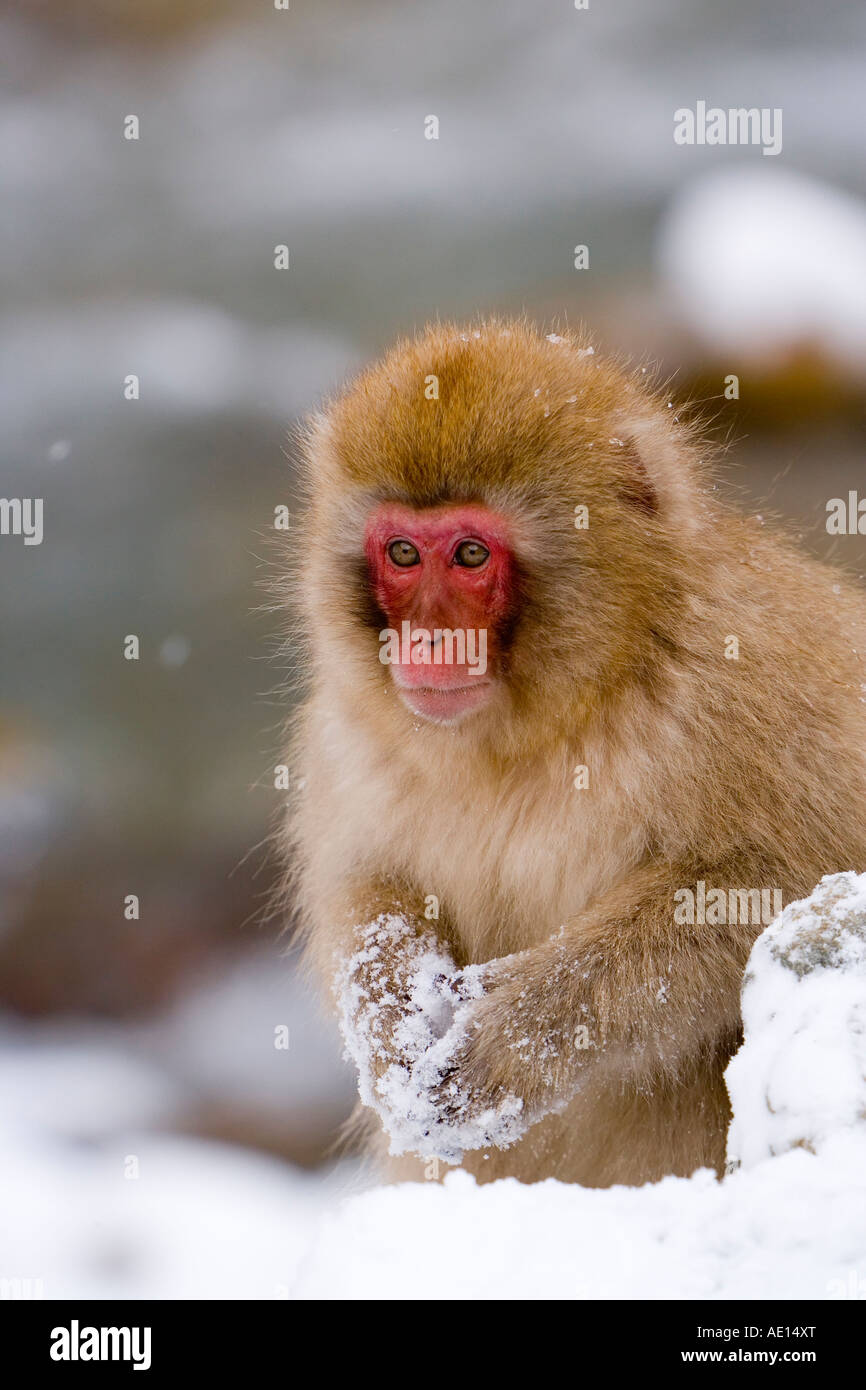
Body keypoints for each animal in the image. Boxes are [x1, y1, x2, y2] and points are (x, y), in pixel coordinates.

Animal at [282, 318, 866, 1188]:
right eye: (404, 554)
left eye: (470, 555)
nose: (429, 641)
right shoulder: (347, 732)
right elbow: (365, 878)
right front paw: (392, 1024)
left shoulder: (752, 681)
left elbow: (777, 878)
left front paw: (514, 1037)